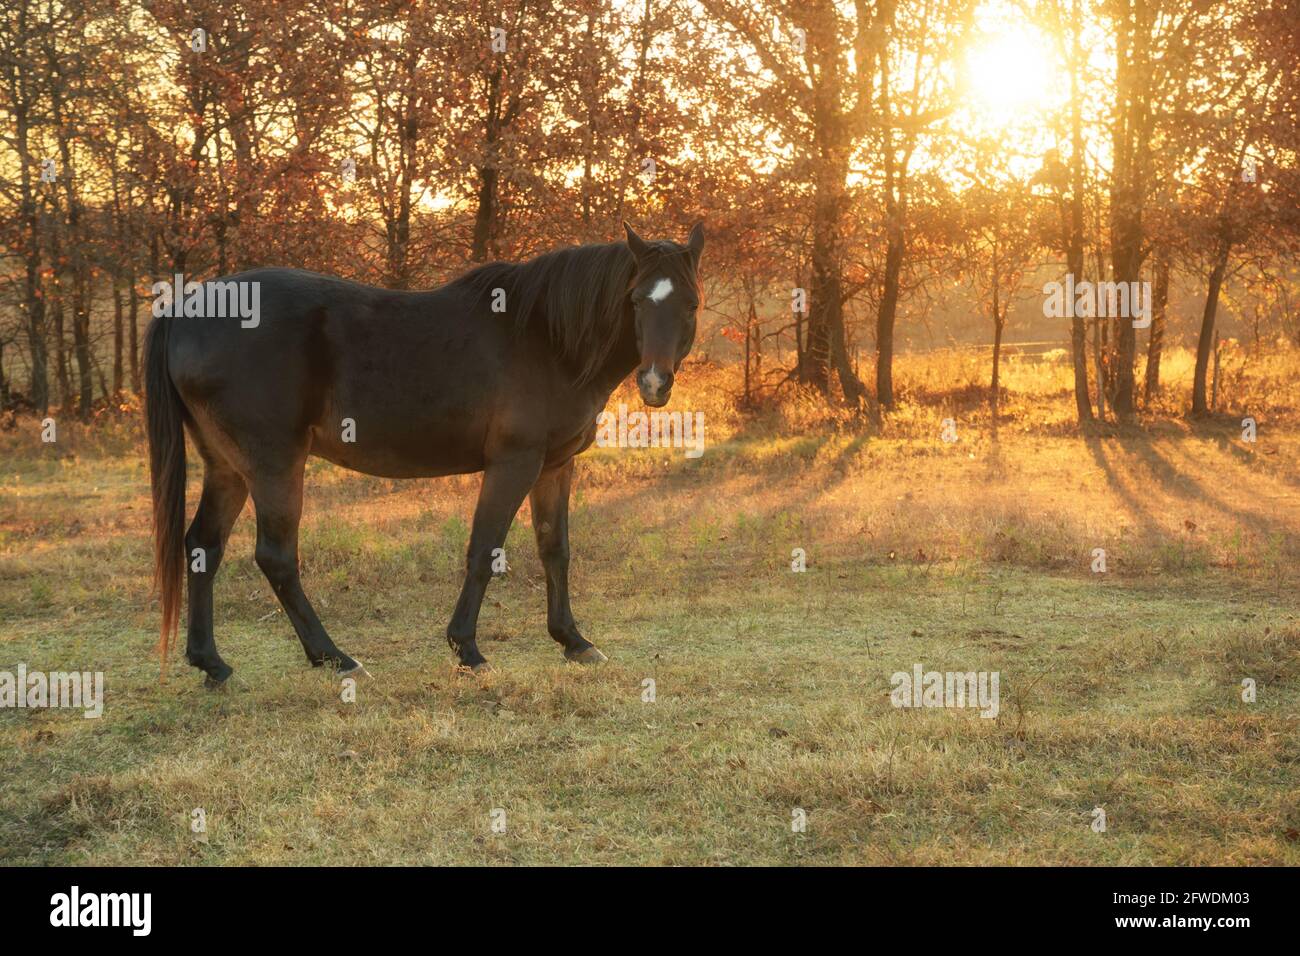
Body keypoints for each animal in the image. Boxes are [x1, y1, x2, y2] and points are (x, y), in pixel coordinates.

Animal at [145, 222, 704, 684]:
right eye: (637, 299)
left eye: (692, 304)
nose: (655, 383)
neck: (545, 337)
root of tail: (188, 309)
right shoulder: (514, 463)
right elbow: (484, 550)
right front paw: (467, 649)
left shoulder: (555, 466)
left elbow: (555, 549)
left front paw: (573, 641)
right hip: (273, 465)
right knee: (276, 558)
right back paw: (335, 657)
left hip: (227, 468)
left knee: (203, 548)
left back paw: (212, 664)